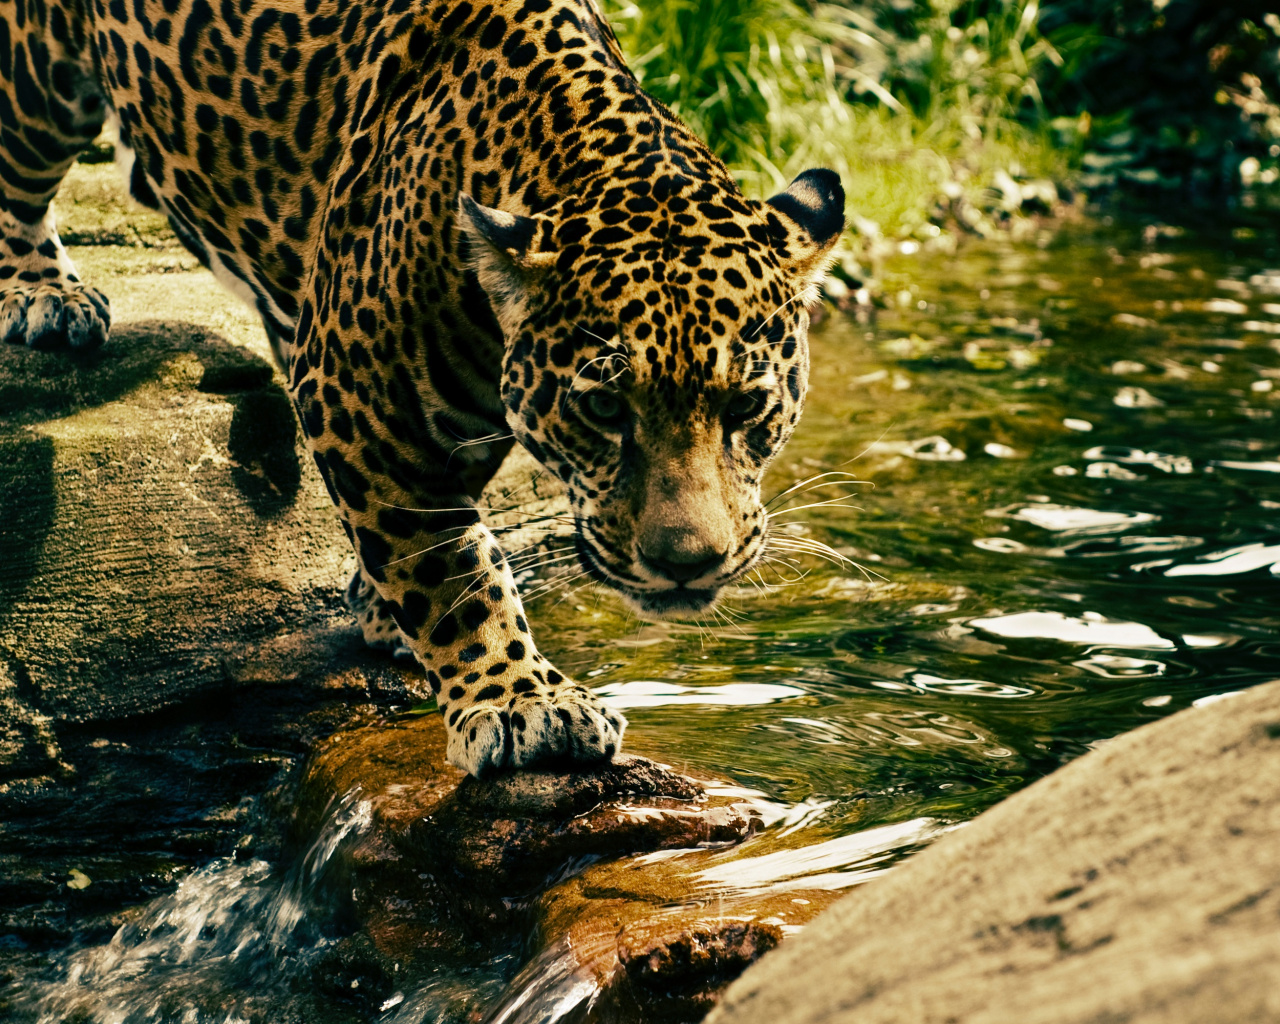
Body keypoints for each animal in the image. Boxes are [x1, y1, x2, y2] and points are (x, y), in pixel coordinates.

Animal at [0, 0, 845, 777]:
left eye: (746, 407)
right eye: (604, 408)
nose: (687, 562)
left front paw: (386, 609)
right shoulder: (360, 394)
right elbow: (450, 565)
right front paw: (522, 702)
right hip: (38, 79)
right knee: (17, 167)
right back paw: (43, 293)